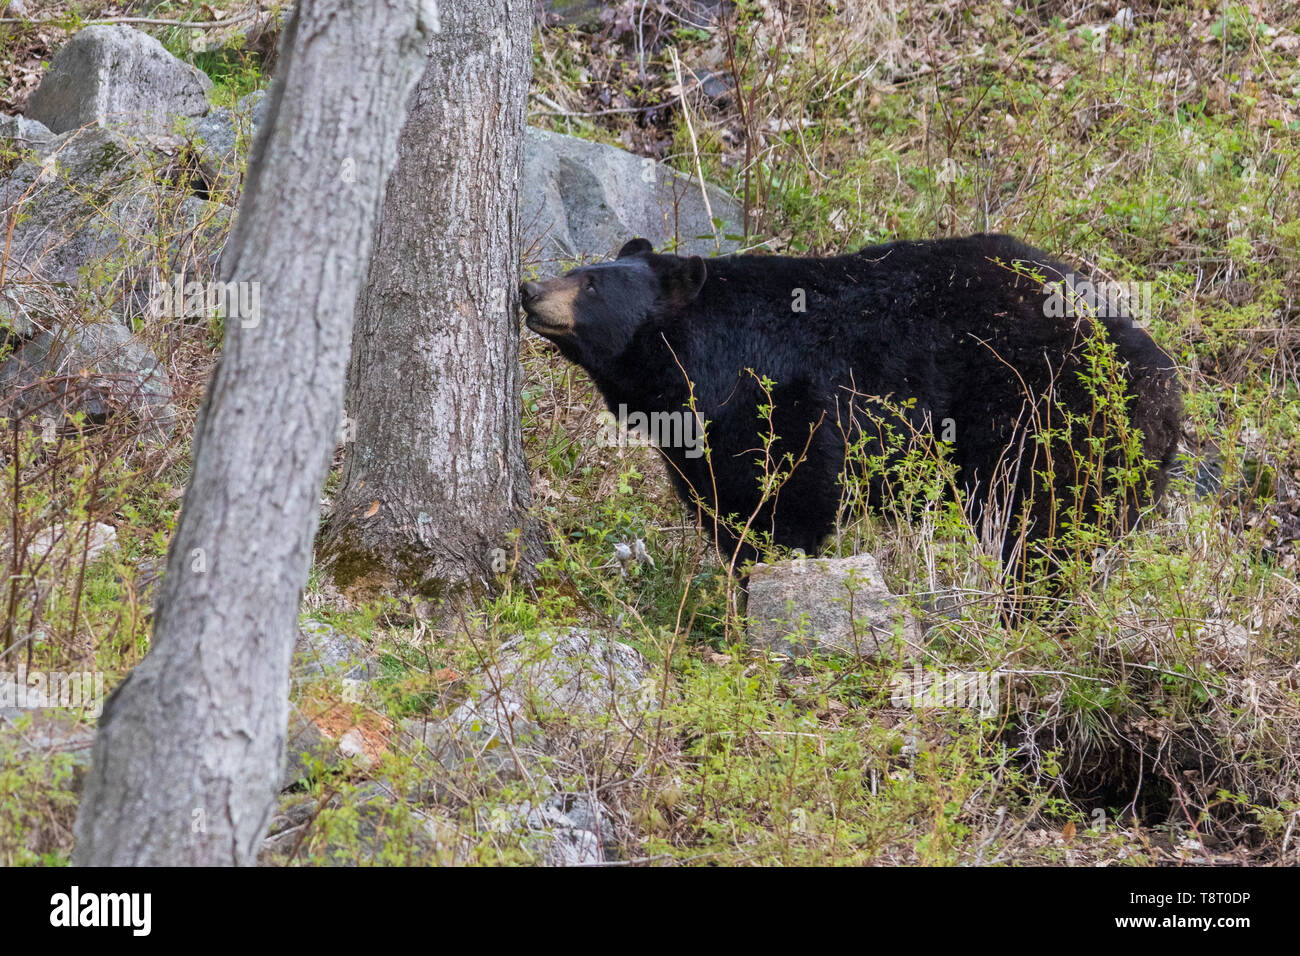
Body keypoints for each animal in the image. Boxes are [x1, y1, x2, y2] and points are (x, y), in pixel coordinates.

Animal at [520, 234, 1183, 576]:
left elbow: (784, 502)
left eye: (590, 284)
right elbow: (723, 502)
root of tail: (1164, 379)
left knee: (1048, 523)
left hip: (1047, 418)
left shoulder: (786, 403)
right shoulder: (703, 437)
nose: (527, 288)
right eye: (581, 269)